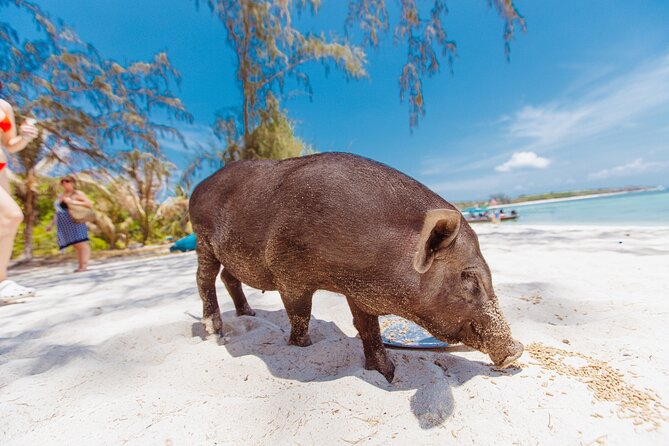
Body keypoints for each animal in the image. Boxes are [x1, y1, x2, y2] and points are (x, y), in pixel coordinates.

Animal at [189, 152, 523, 382]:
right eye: (468, 276)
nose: (516, 350)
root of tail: (198, 187)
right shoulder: (288, 273)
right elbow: (301, 315)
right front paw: (301, 345)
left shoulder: (358, 290)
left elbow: (367, 327)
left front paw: (387, 374)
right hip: (203, 238)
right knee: (204, 278)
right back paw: (216, 331)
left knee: (229, 277)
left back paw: (249, 314)